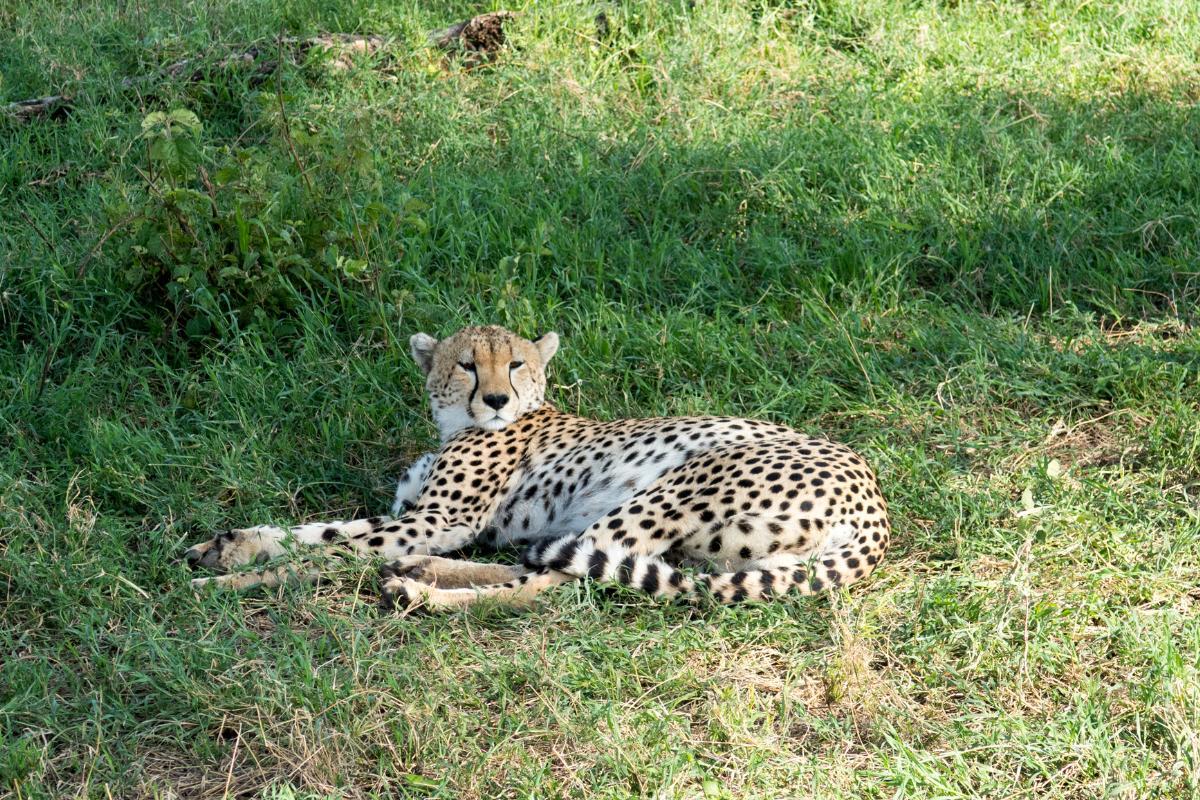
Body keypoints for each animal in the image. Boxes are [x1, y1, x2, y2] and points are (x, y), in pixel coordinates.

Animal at [184, 325, 890, 611]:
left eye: (517, 364)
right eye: (468, 364)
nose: (497, 399)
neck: (455, 425)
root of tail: (875, 499)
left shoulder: (440, 517)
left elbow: (329, 552)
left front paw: (233, 582)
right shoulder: (417, 514)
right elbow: (324, 531)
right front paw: (227, 546)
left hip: (675, 485)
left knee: (555, 581)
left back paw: (420, 591)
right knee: (547, 562)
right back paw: (420, 573)